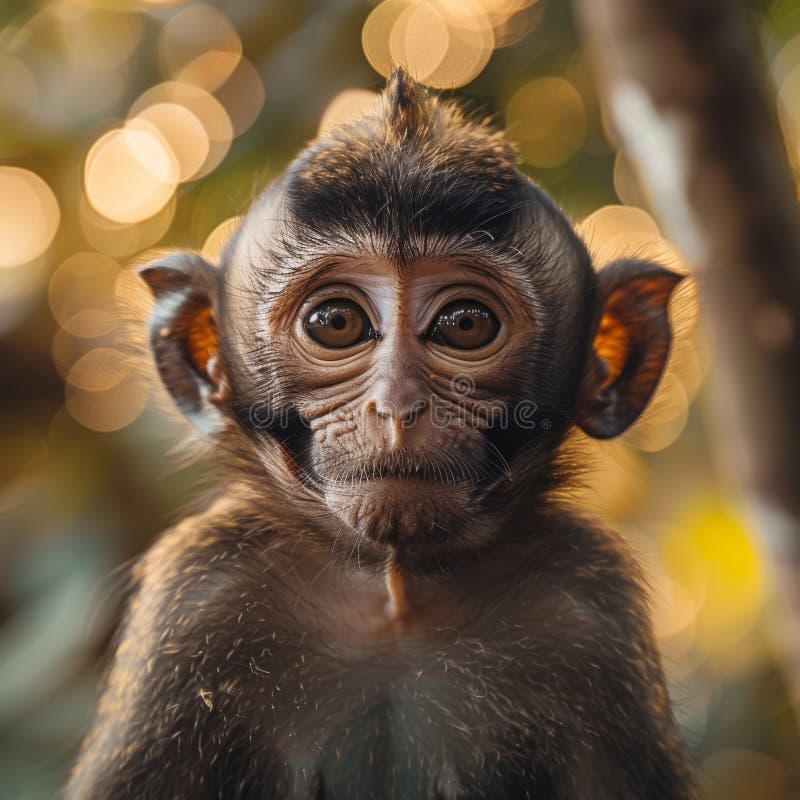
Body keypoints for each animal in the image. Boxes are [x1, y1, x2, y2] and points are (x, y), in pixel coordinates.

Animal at [64, 69, 697, 799]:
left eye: (465, 324)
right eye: (336, 321)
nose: (396, 408)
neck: (395, 593)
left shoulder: (592, 612)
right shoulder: (201, 595)